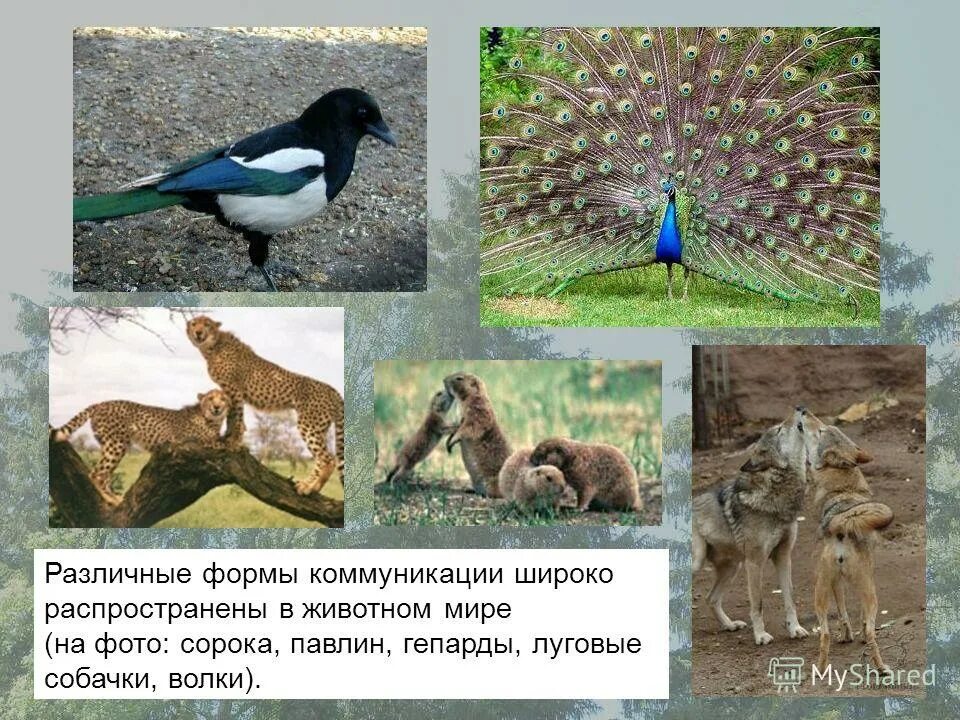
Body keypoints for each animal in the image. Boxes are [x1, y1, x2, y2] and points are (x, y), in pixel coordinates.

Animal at [802, 411, 894, 675]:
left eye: (822, 430)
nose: (802, 409)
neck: (843, 488)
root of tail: (841, 526)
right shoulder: (863, 582)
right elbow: (860, 619)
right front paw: (856, 636)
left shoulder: (837, 584)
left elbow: (843, 615)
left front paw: (847, 636)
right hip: (871, 596)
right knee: (872, 634)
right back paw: (882, 668)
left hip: (819, 595)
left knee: (824, 634)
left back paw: (821, 669)